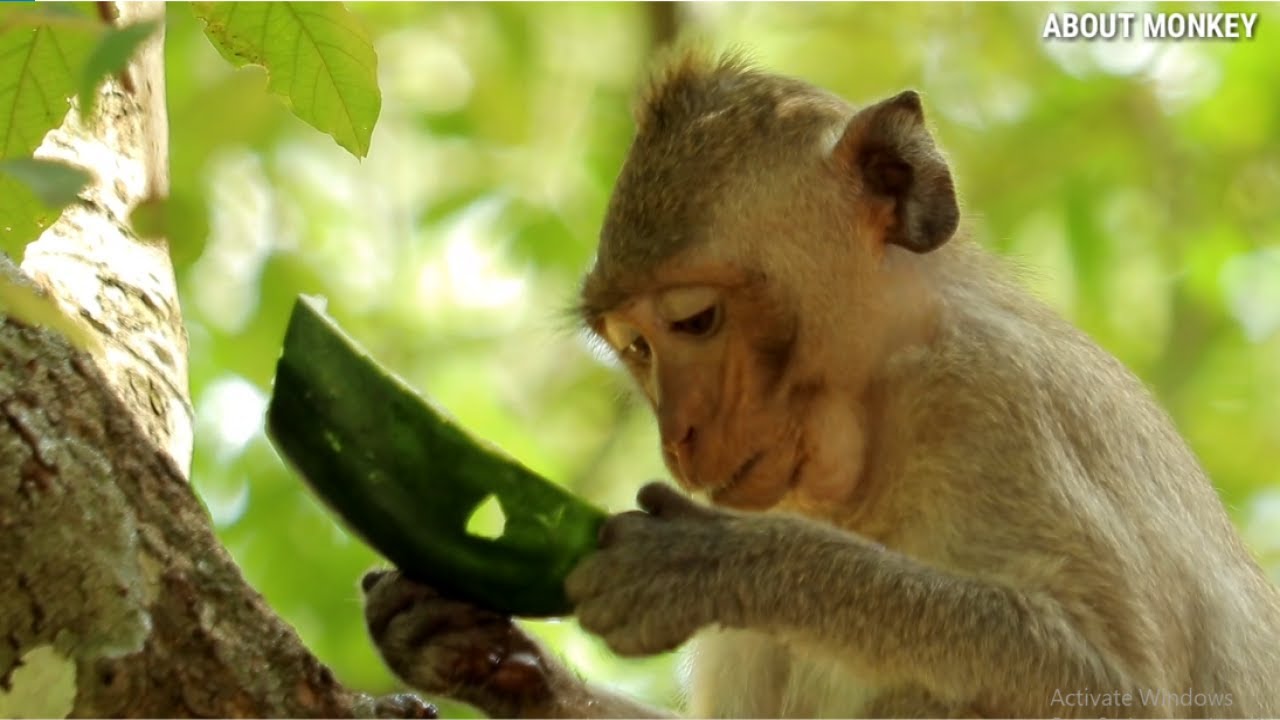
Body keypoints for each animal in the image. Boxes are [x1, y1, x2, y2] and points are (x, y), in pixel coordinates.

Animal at [362, 49, 1280, 718]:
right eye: (636, 347)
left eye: (695, 319)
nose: (677, 435)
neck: (879, 418)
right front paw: (476, 651)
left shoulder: (1004, 404)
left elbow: (1121, 689)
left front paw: (719, 564)